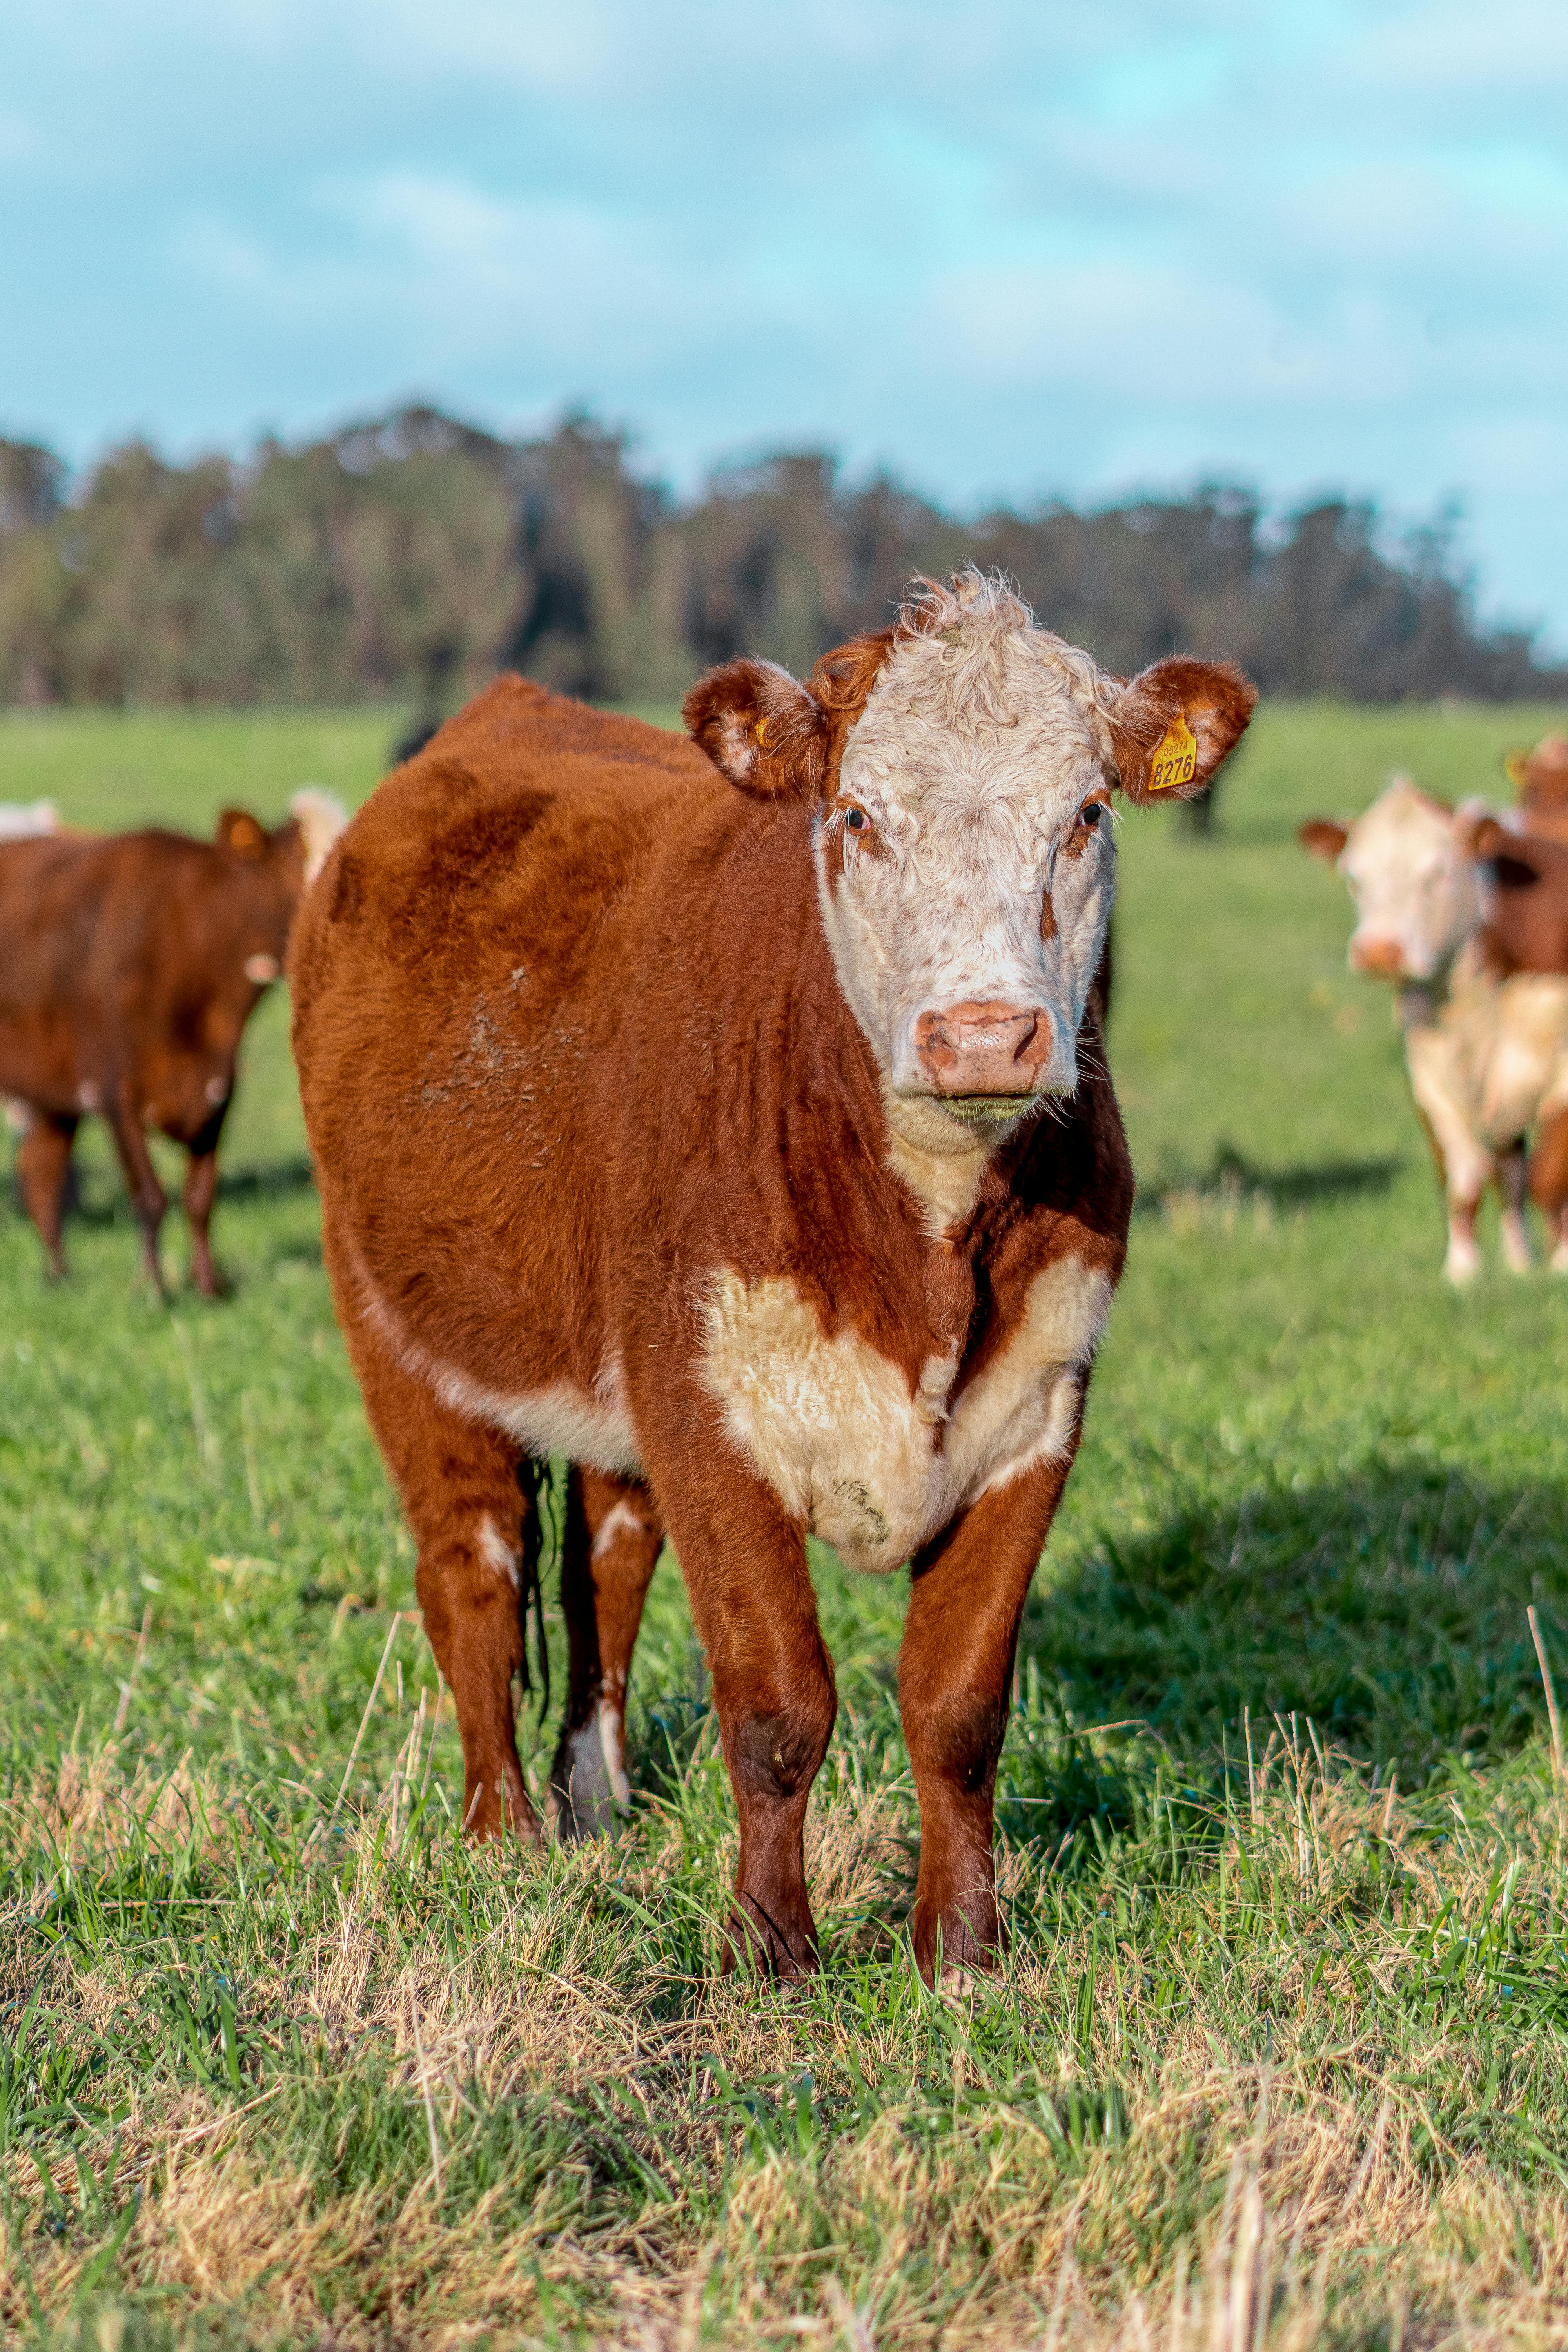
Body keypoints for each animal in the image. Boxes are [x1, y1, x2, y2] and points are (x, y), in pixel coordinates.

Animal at [1, 791, 345, 1292]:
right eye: (299, 871)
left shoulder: (218, 1092)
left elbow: (200, 1198)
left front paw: (208, 1287)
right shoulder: (114, 1092)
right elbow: (150, 1196)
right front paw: (155, 1289)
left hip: (51, 1094)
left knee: (41, 1174)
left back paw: (59, 1277)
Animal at [291, 571, 1255, 1985]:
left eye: (1086, 812)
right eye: (858, 814)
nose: (984, 1037)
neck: (926, 1249)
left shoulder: (1038, 1408)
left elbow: (958, 1703)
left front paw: (963, 1948)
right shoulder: (706, 1412)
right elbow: (777, 1702)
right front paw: (770, 1948)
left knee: (608, 1561)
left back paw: (598, 1800)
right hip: (400, 1331)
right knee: (475, 1571)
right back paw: (504, 1835)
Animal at [1299, 778, 1568, 1281]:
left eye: (1437, 873)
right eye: (1354, 878)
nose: (1379, 950)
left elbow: (1550, 1177)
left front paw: (1562, 1263)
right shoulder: (1428, 1070)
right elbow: (1463, 1176)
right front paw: (1462, 1272)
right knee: (1508, 1170)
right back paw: (1518, 1264)